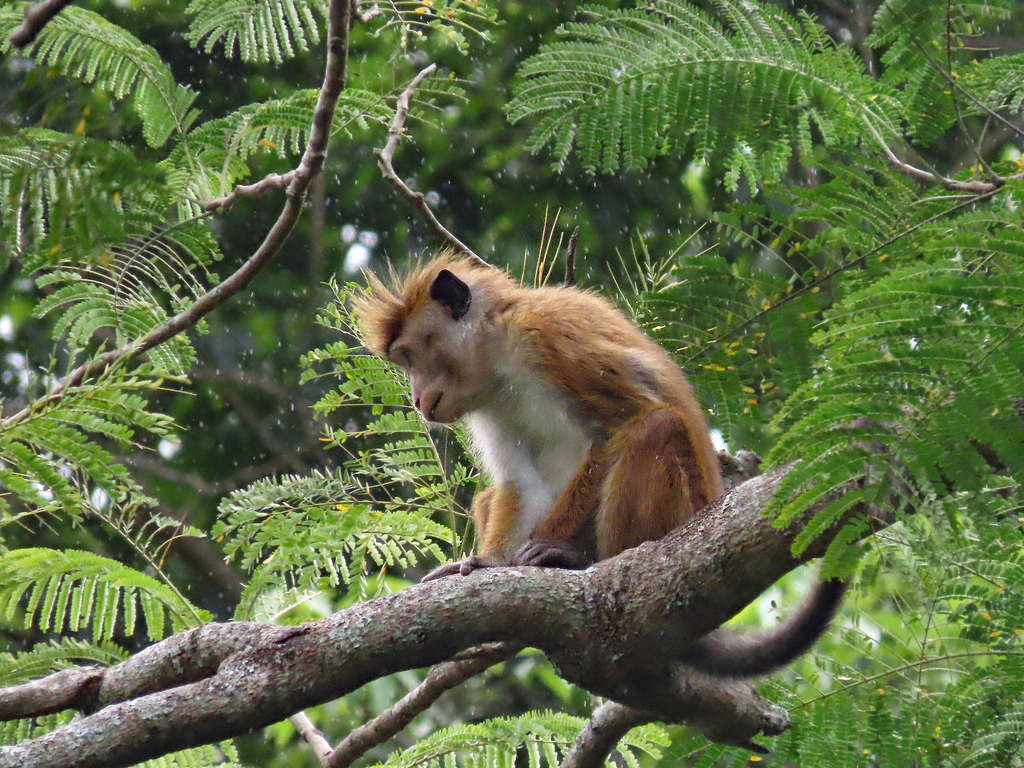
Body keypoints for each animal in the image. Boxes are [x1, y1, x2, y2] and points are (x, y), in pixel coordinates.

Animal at [355, 251, 846, 677]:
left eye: (411, 355)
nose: (416, 398)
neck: (500, 350)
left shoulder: (547, 336)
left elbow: (621, 426)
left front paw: (550, 546)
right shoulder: (487, 401)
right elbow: (520, 484)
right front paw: (490, 563)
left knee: (655, 428)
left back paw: (583, 561)